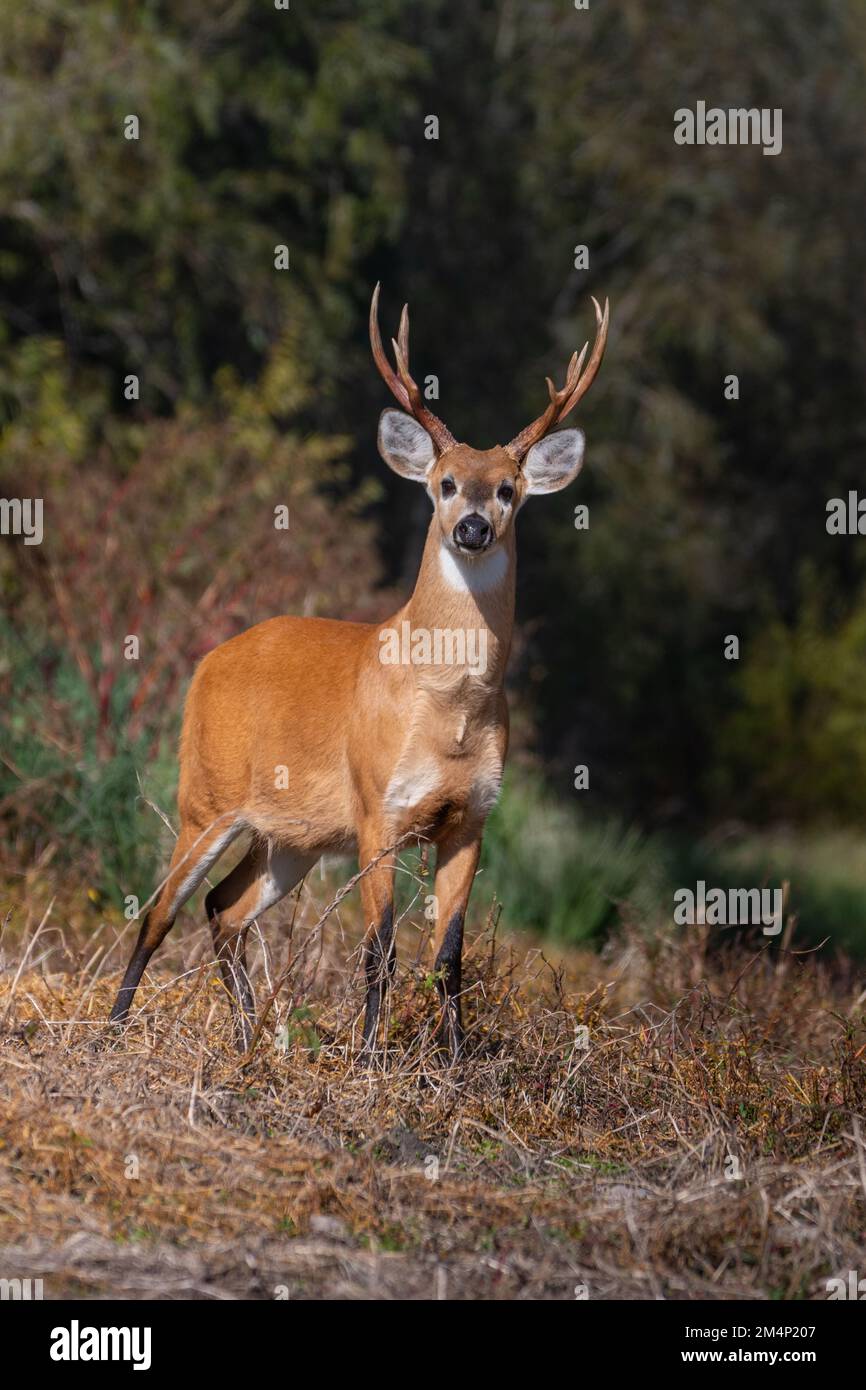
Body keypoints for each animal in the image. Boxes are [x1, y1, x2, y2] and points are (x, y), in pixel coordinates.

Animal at [110, 284, 609, 1059]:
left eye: (508, 490)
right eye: (445, 483)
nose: (472, 528)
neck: (449, 707)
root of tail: (208, 661)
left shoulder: (470, 819)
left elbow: (450, 956)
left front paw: (454, 1063)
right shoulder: (380, 807)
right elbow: (380, 949)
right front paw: (370, 1058)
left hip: (292, 837)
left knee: (224, 907)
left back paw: (250, 1038)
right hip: (206, 797)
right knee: (159, 910)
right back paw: (111, 1032)